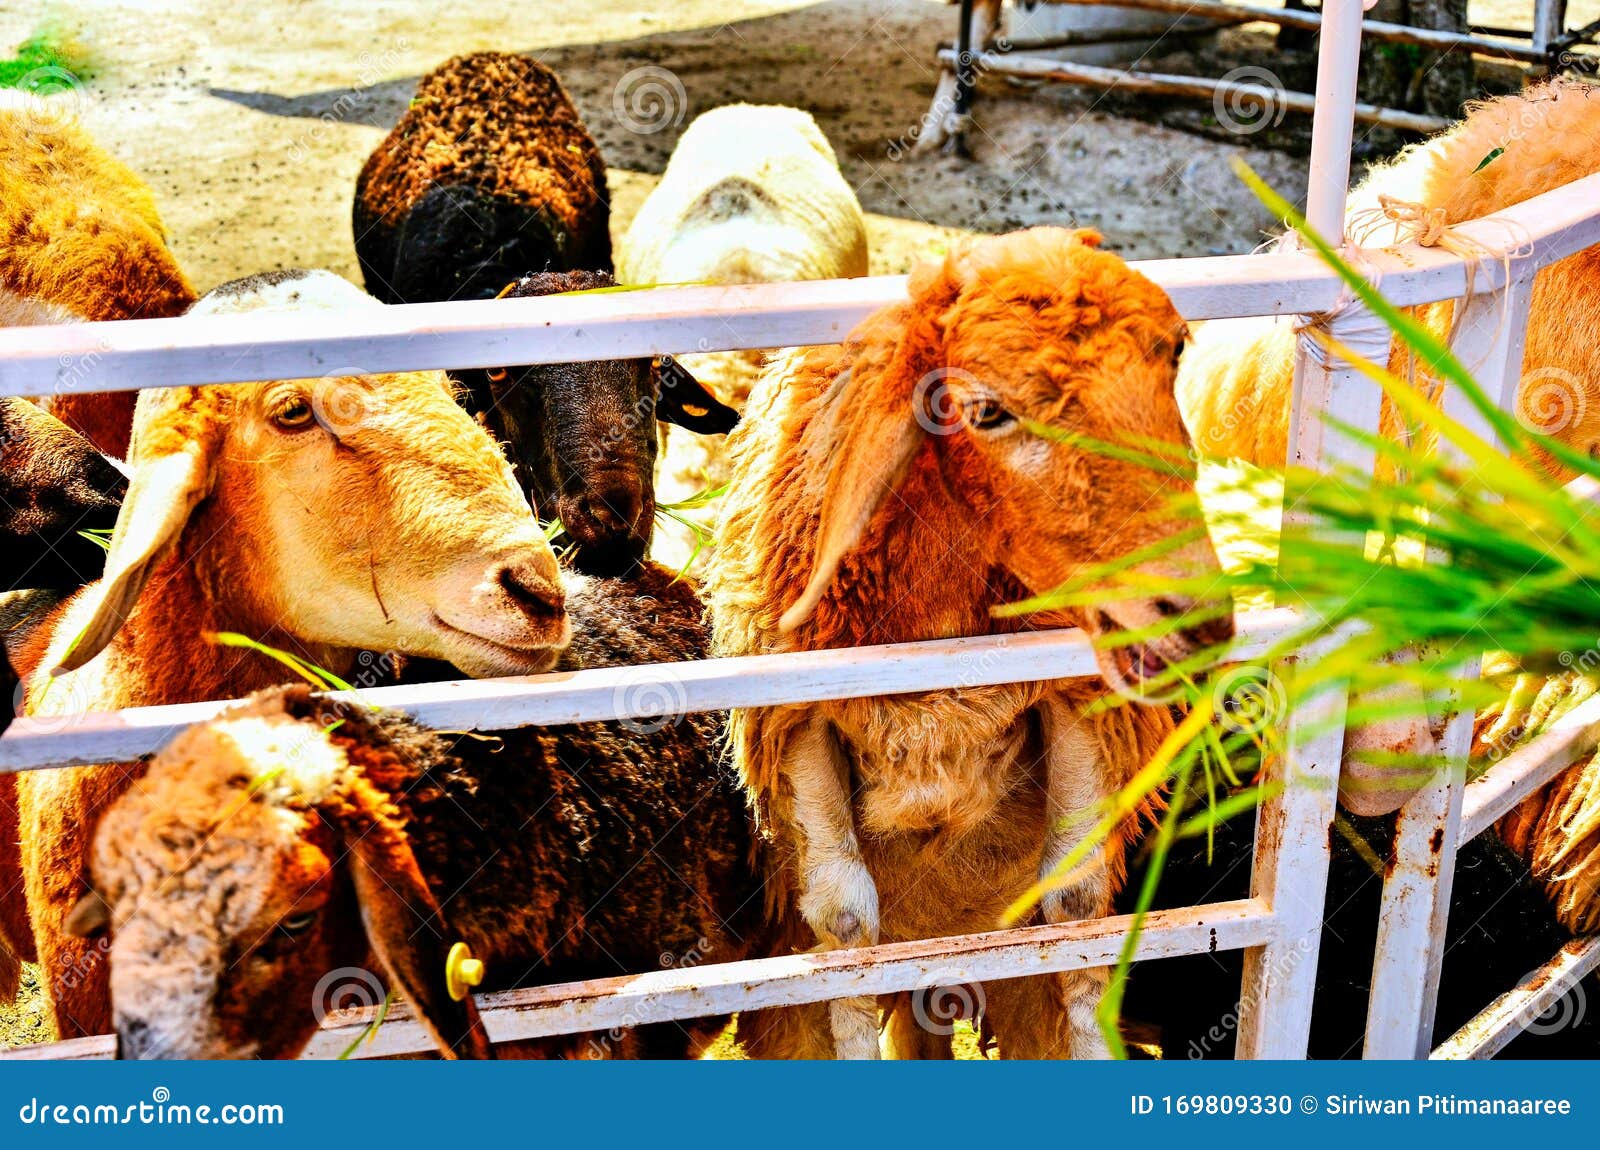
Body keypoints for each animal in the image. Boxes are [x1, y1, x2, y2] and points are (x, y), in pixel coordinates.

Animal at [704, 227, 1235, 1059]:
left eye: (1175, 350)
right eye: (987, 411)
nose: (1197, 614)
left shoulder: (1073, 699)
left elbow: (1074, 904)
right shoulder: (796, 718)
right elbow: (846, 925)